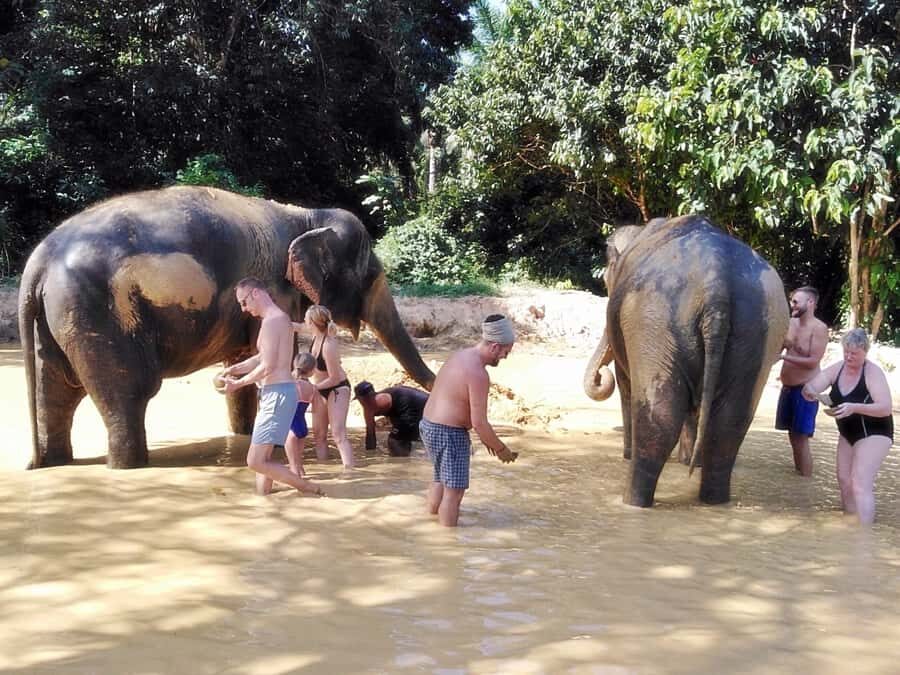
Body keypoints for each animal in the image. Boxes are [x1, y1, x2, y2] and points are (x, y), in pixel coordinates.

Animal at [19, 185, 435, 469]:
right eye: (371, 275)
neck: (305, 215)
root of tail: (37, 262)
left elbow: (248, 360)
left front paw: (246, 434)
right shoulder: (276, 289)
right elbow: (273, 356)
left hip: (60, 318)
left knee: (54, 394)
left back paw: (54, 462)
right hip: (99, 315)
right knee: (127, 394)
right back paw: (129, 466)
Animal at [583, 215, 788, 507]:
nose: (602, 376)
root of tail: (717, 281)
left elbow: (625, 383)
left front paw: (627, 453)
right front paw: (688, 461)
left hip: (651, 321)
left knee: (659, 418)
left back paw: (631, 500)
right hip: (759, 331)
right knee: (728, 425)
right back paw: (712, 500)